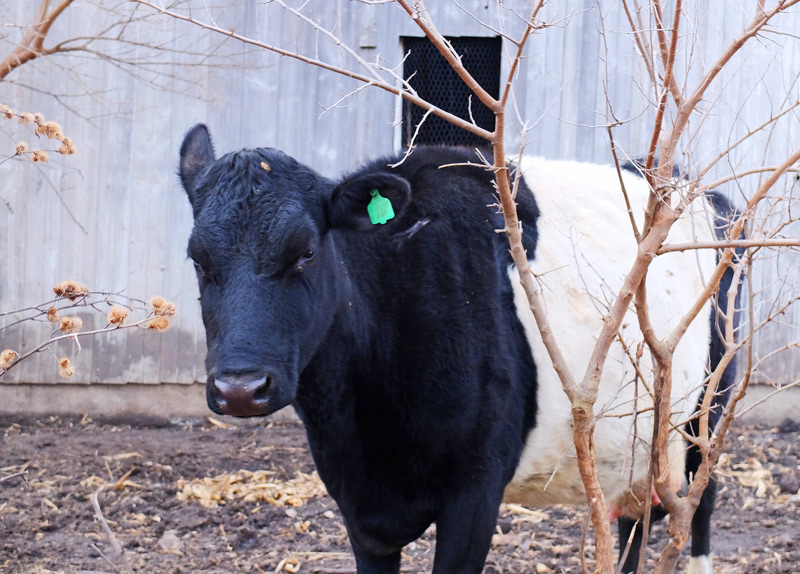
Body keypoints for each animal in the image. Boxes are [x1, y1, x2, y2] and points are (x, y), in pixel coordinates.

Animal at [179, 123, 740, 574]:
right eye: (197, 261)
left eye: (307, 252)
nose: (240, 388)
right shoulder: (357, 505)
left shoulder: (475, 491)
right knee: (632, 520)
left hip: (707, 407)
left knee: (700, 502)